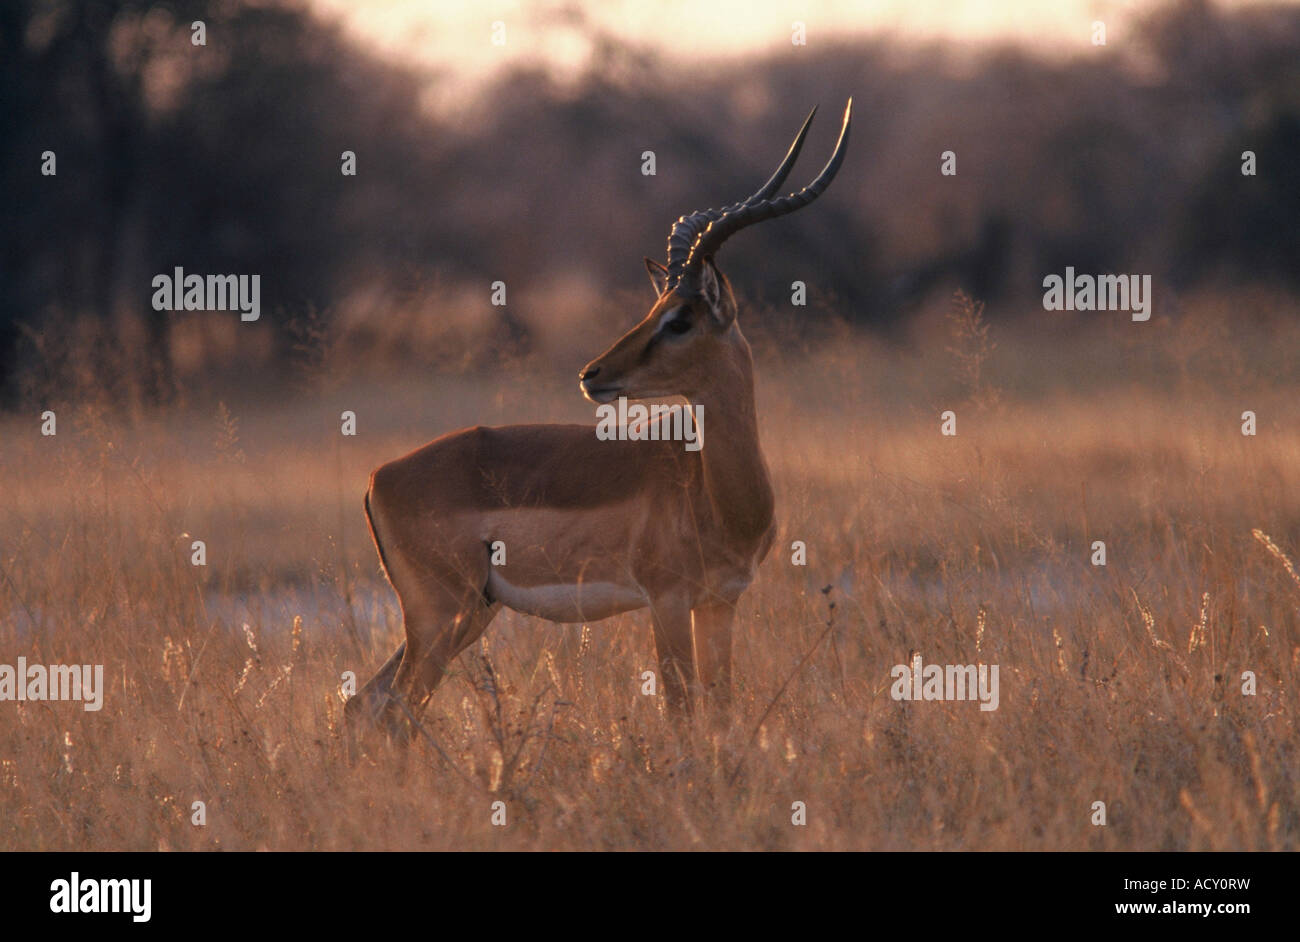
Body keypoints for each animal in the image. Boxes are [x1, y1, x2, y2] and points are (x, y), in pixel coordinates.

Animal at [345, 100, 852, 739]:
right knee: (393, 709)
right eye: (659, 309)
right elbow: (681, 713)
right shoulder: (667, 600)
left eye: (678, 318)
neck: (713, 492)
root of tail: (376, 477)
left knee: (365, 705)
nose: (592, 373)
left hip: (470, 613)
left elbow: (720, 713)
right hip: (442, 615)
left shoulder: (720, 602)